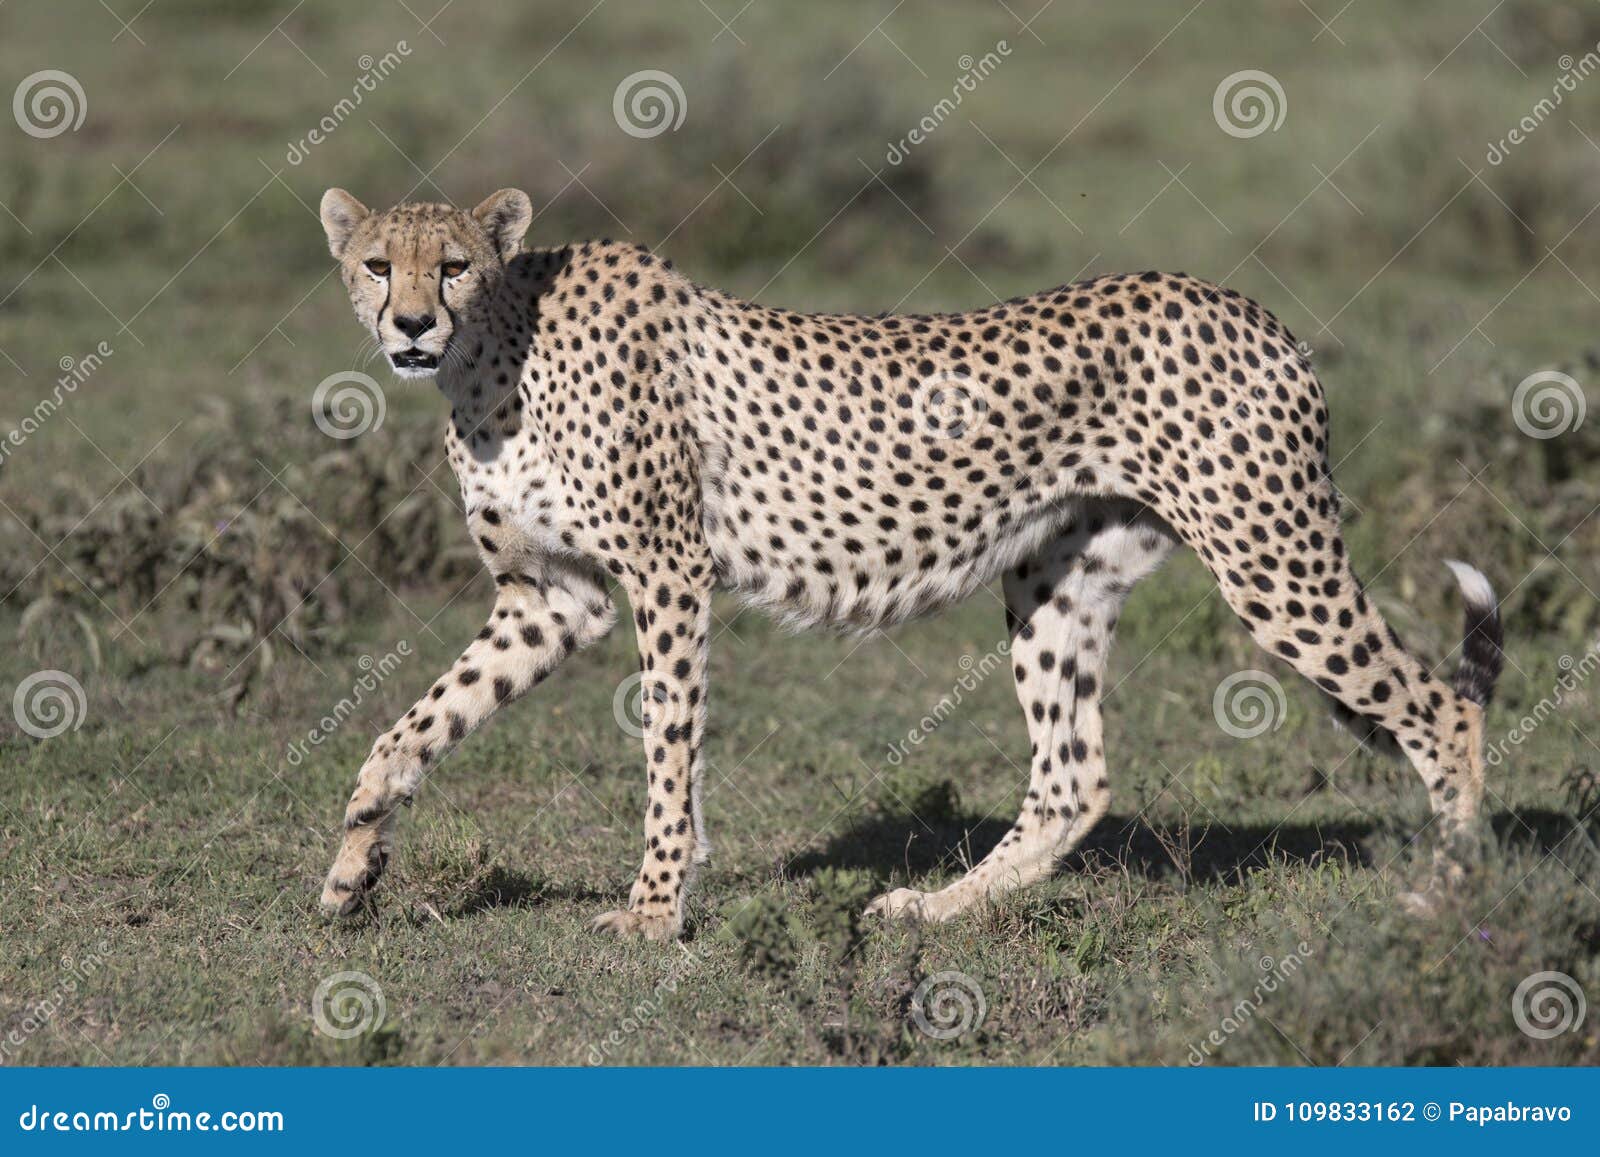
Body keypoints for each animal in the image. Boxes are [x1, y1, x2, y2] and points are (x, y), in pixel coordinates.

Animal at [315, 187, 1504, 940]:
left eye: (453, 266)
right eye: (377, 265)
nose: (409, 324)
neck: (495, 354)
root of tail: (1250, 308)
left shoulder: (667, 575)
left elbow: (665, 748)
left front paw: (654, 908)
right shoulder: (550, 597)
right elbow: (416, 722)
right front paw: (352, 865)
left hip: (1270, 555)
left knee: (1442, 707)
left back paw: (1446, 899)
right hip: (1058, 577)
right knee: (1073, 775)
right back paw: (930, 911)